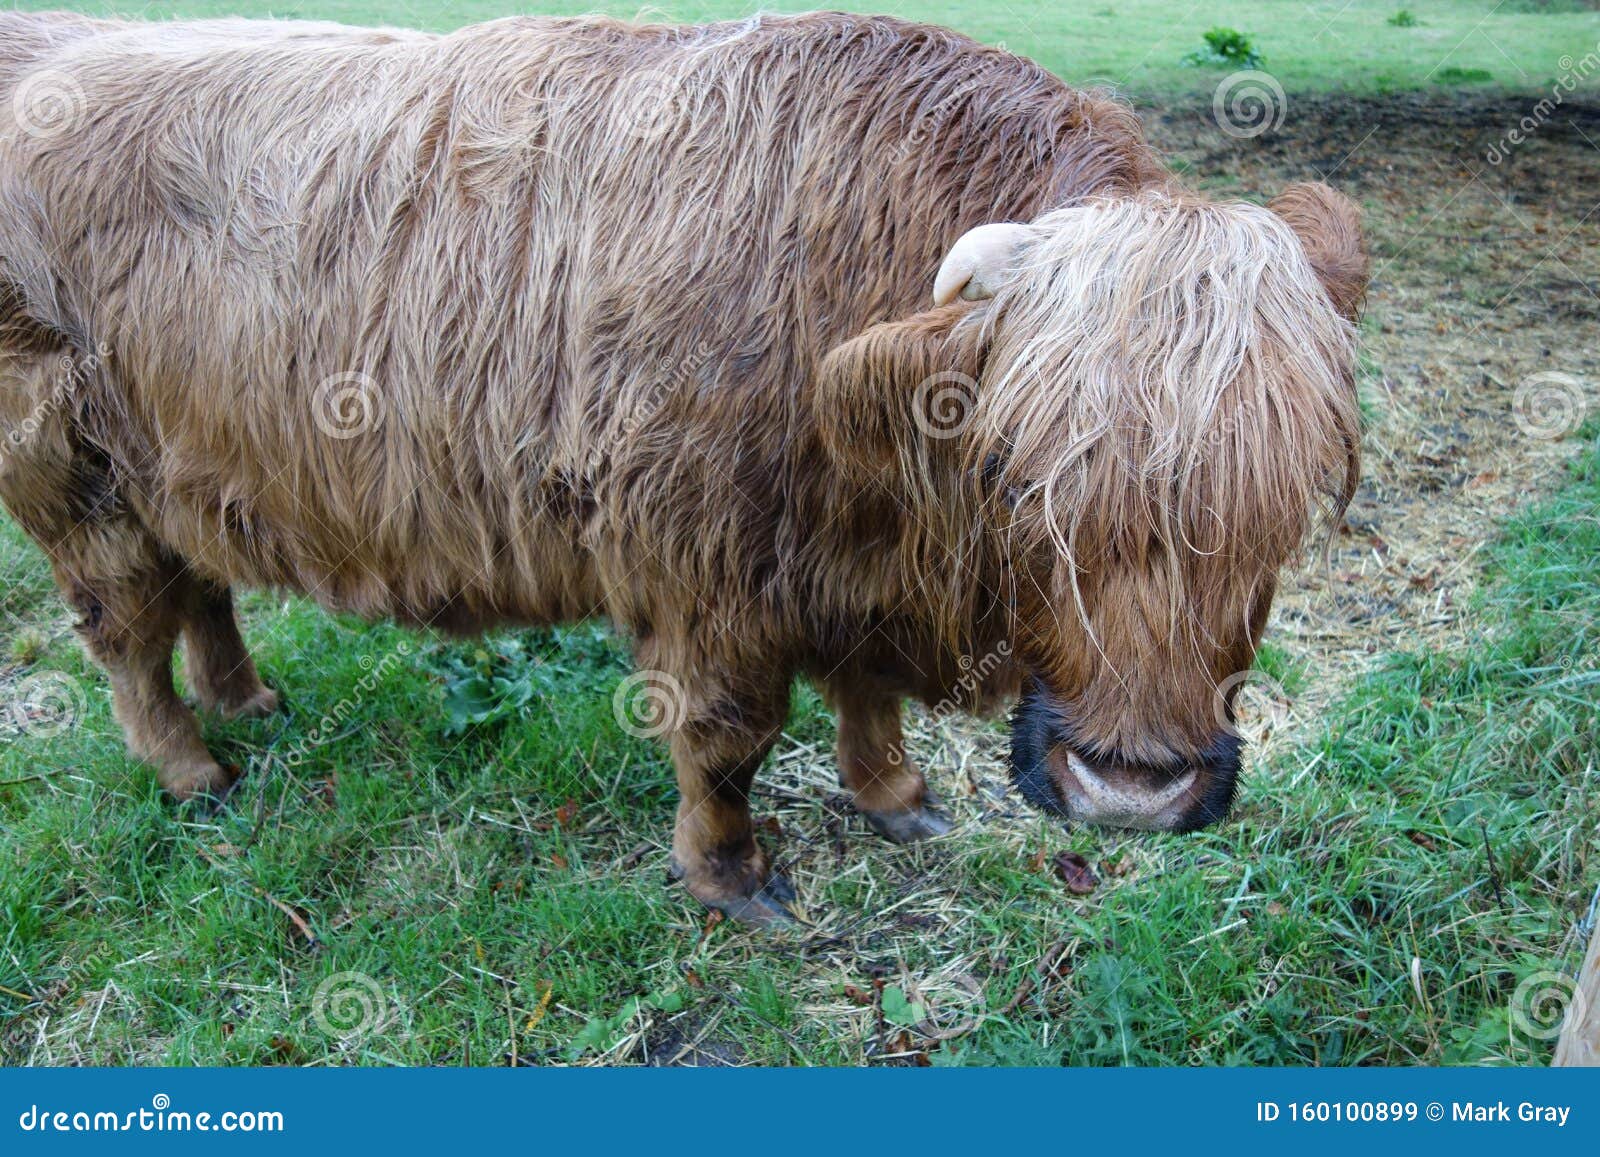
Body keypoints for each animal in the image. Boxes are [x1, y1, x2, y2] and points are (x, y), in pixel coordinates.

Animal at [0, 11, 1365, 925]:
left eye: (1289, 504)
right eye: (1013, 472)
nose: (1129, 789)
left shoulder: (845, 571)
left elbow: (863, 692)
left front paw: (895, 791)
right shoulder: (706, 582)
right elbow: (726, 740)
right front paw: (729, 875)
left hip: (180, 469)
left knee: (201, 585)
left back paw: (247, 700)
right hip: (74, 476)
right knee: (126, 634)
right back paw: (196, 769)